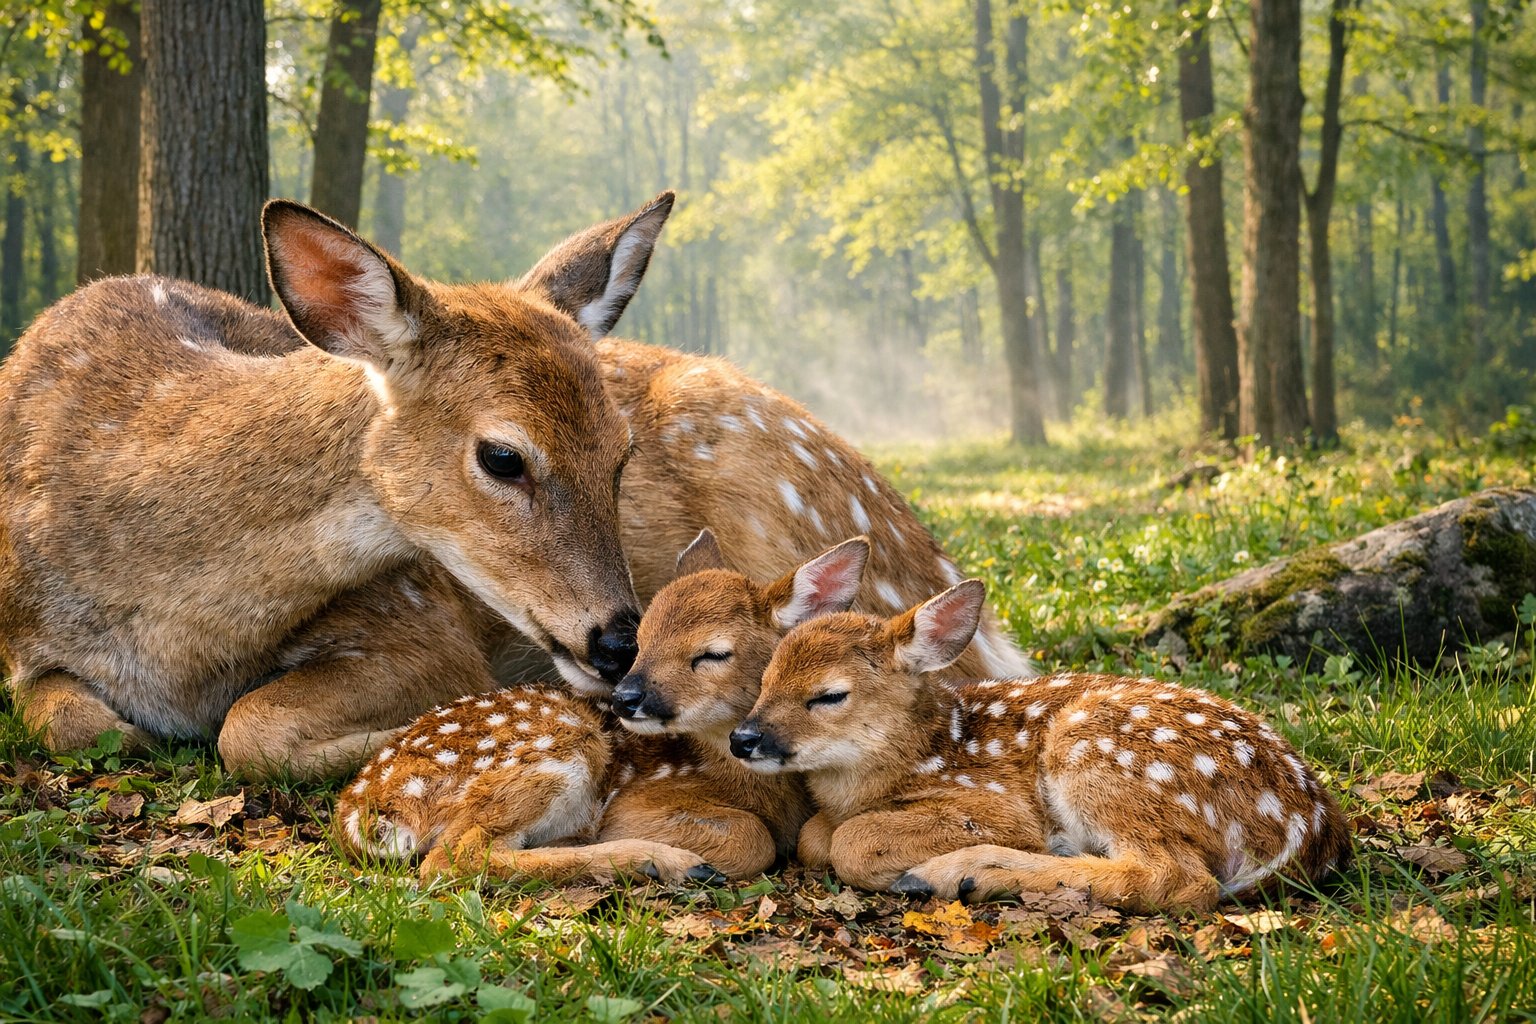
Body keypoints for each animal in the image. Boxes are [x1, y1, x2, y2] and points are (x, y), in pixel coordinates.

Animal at [1, 192, 1031, 781]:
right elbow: (84, 726)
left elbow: (246, 732)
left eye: (620, 452)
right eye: (502, 455)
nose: (618, 641)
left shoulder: (420, 622)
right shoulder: (25, 647)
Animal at [337, 531, 867, 886]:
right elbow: (753, 838)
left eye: (713, 653)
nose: (624, 698)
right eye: (642, 639)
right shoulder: (634, 803)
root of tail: (365, 808)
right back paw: (665, 862)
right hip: (557, 749)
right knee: (453, 859)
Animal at [731, 578, 1351, 914]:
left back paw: (961, 873)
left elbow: (850, 842)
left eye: (829, 695)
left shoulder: (997, 806)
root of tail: (1310, 828)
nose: (744, 737)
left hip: (1095, 752)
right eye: (764, 680)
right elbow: (815, 836)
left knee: (1178, 878)